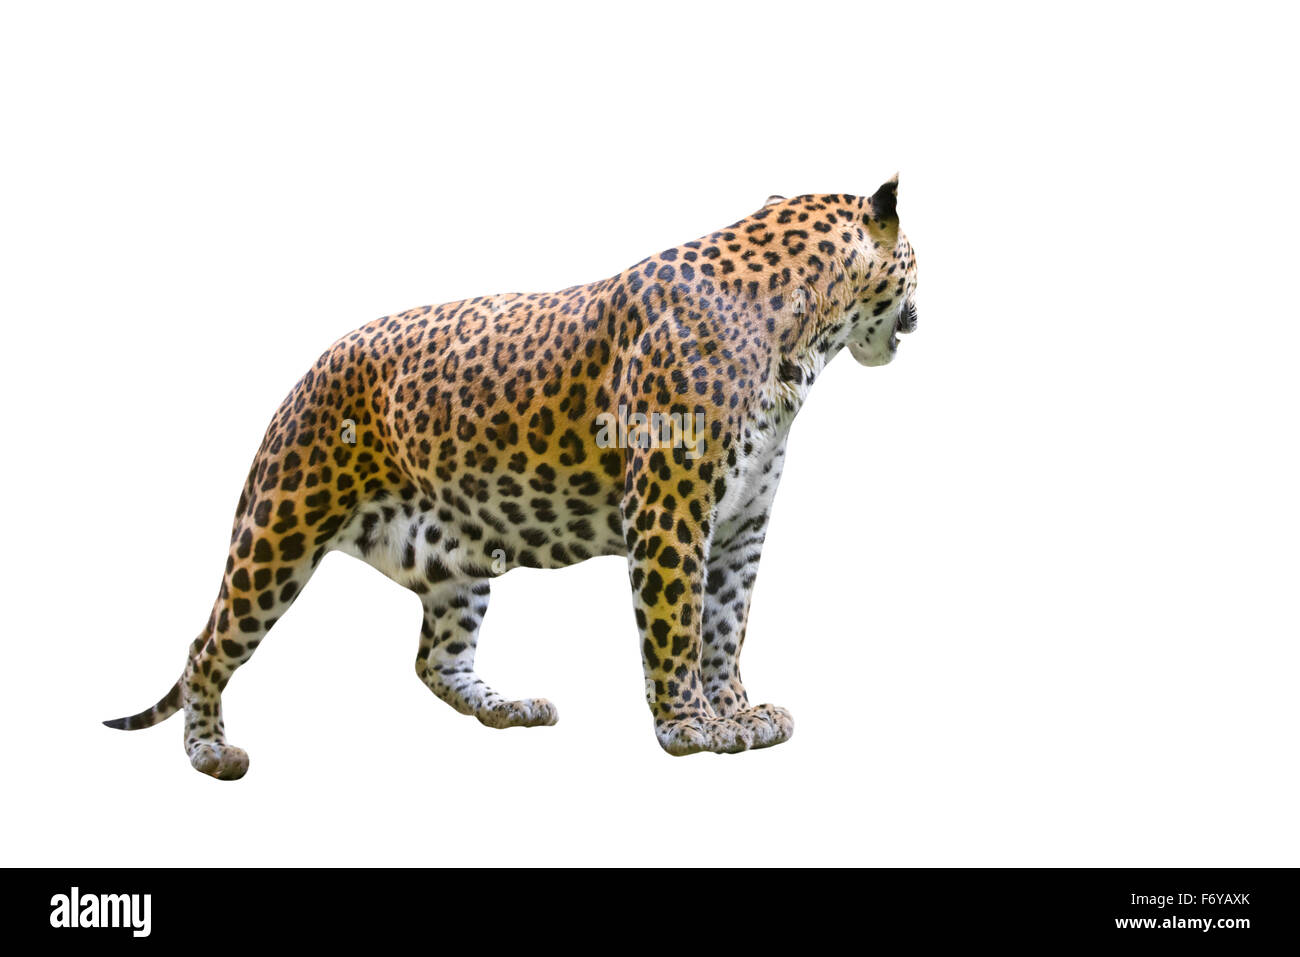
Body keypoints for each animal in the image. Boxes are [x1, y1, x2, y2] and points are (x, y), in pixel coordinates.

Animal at [105, 176, 919, 778]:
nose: (923, 308)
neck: (807, 340)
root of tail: (307, 372)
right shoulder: (672, 512)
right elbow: (677, 623)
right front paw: (690, 726)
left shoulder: (741, 523)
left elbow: (725, 620)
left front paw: (738, 710)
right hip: (280, 529)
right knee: (205, 646)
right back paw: (210, 751)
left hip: (454, 558)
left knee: (436, 659)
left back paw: (508, 708)